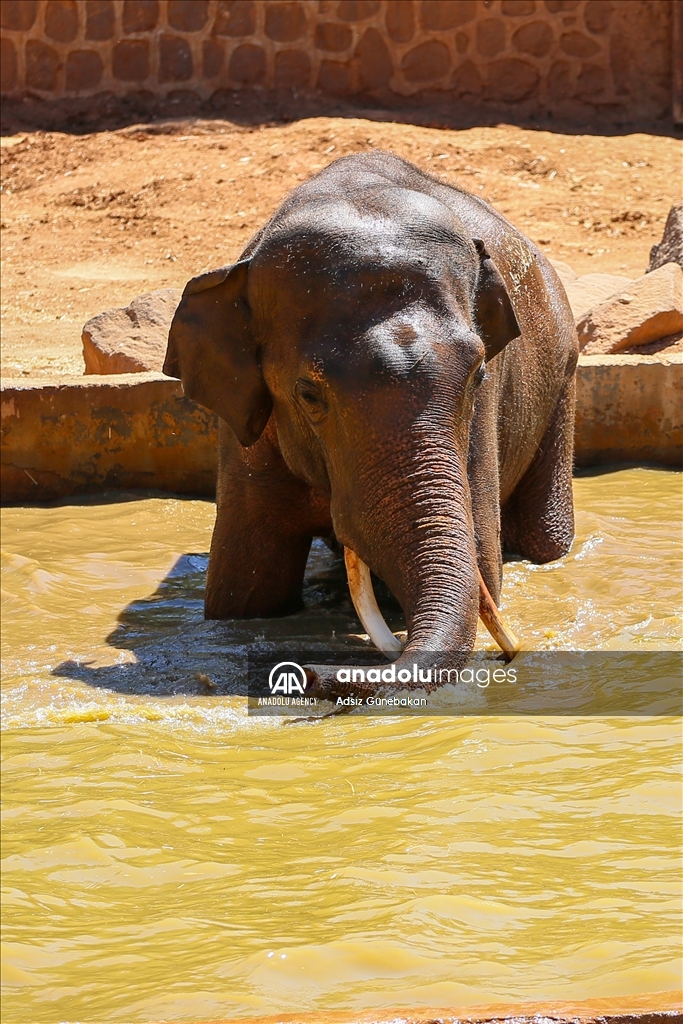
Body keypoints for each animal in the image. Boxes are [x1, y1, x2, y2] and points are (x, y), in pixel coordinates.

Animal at [164, 151, 577, 696]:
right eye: (308, 394)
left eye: (478, 373)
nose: (304, 675)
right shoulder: (244, 438)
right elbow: (242, 593)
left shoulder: (484, 416)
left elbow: (484, 567)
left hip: (563, 379)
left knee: (546, 534)